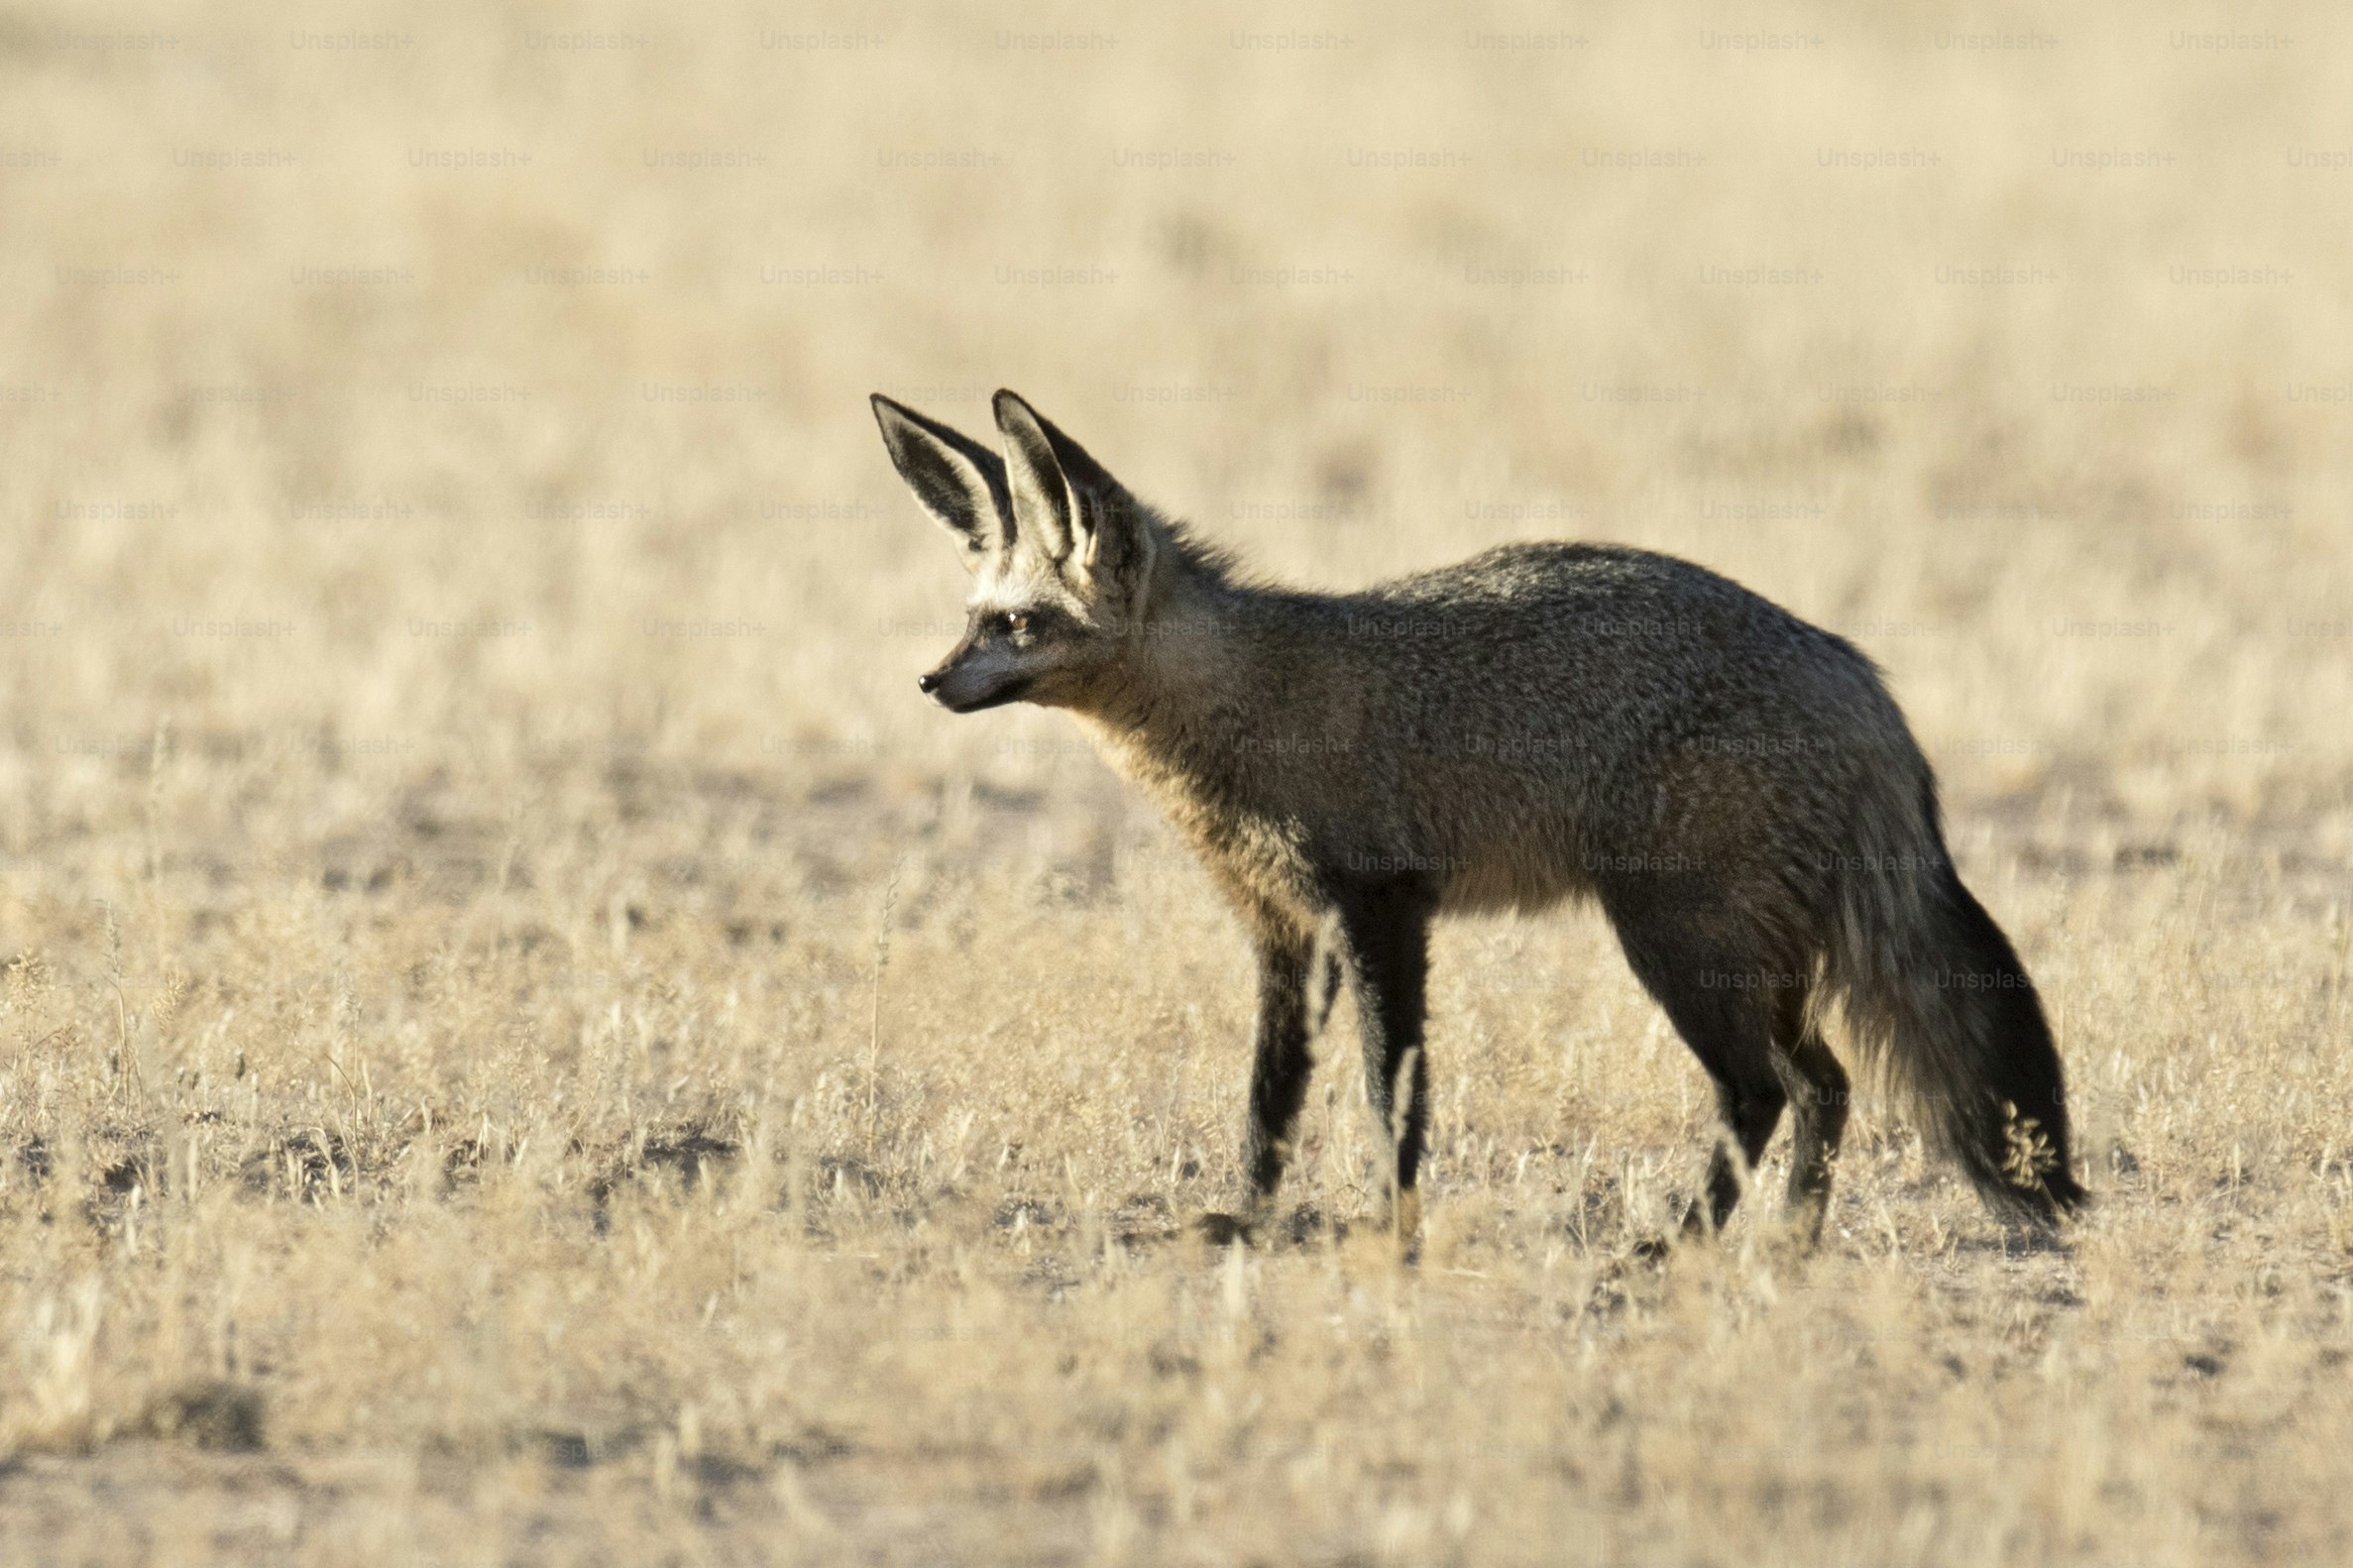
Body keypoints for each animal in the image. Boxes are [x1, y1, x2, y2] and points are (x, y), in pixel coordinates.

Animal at [870, 387, 2086, 1249]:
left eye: (1018, 625)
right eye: (972, 618)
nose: (928, 681)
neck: (1253, 700)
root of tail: (1861, 677)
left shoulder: (1381, 907)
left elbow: (1388, 1091)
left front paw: (1388, 1228)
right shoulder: (1282, 928)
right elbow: (1269, 1099)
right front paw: (1252, 1220)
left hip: (1676, 940)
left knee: (1769, 1090)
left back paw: (1693, 1245)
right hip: (1743, 954)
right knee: (1822, 1085)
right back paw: (1779, 1245)